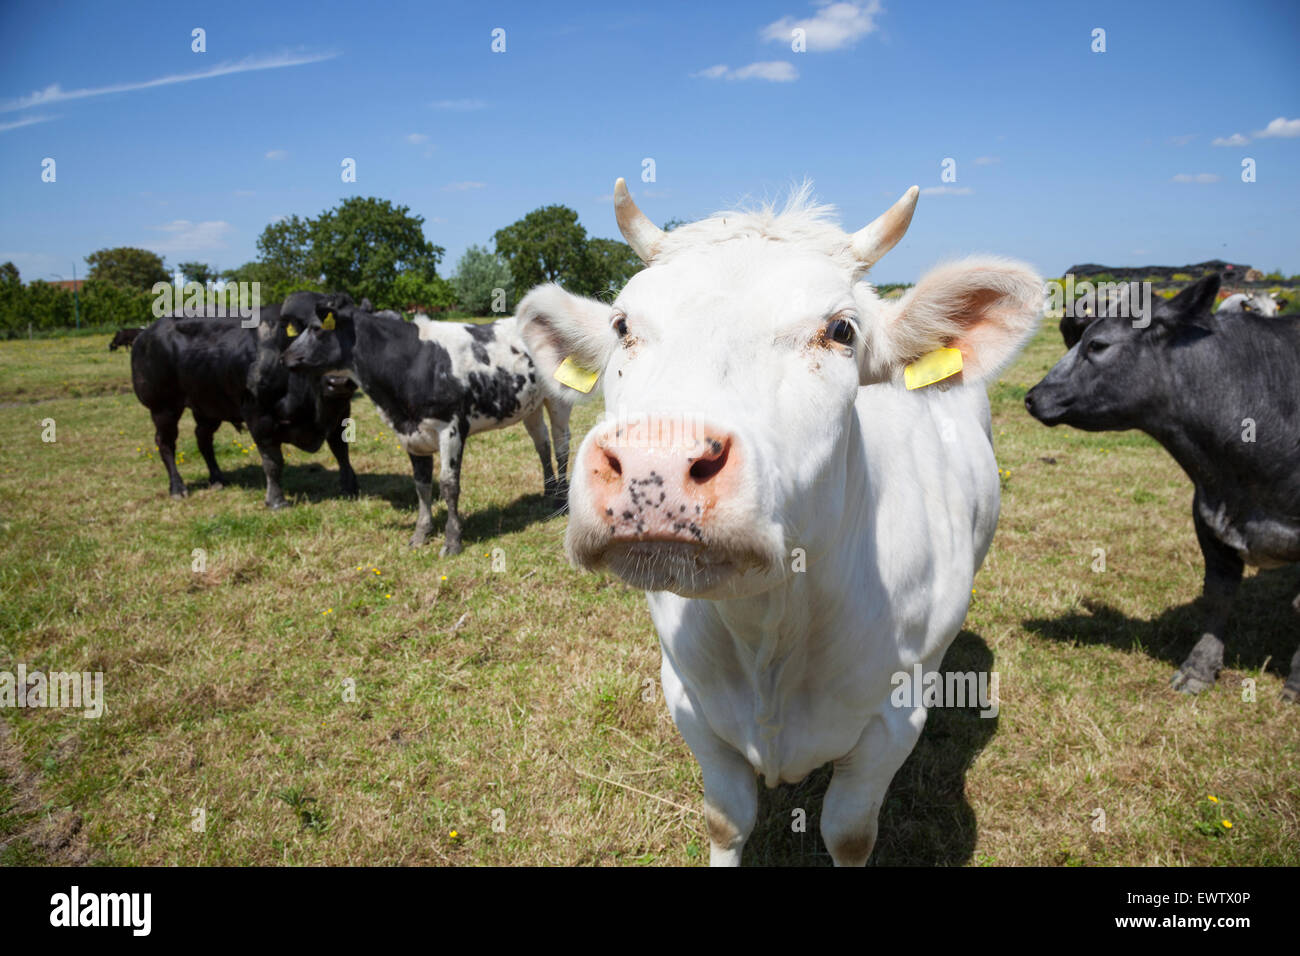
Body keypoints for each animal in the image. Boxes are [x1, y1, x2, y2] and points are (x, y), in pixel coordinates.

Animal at [130, 292, 359, 506]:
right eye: (311, 331)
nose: (339, 381)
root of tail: (145, 334)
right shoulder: (259, 417)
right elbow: (273, 462)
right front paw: (276, 500)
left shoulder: (341, 412)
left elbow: (341, 450)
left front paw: (349, 487)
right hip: (163, 407)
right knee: (165, 443)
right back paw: (178, 487)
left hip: (208, 405)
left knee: (203, 438)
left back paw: (217, 479)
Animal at [282, 293, 573, 555]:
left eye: (316, 328)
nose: (286, 358)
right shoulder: (411, 434)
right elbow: (421, 485)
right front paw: (421, 534)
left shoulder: (451, 428)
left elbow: (448, 485)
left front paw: (452, 541)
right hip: (530, 405)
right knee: (542, 444)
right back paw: (548, 492)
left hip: (558, 399)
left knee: (561, 446)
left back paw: (560, 499)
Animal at [515, 179, 1043, 865]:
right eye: (622, 324)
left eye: (841, 330)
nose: (656, 464)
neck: (770, 627)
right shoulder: (688, 699)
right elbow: (725, 819)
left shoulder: (892, 723)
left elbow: (849, 832)